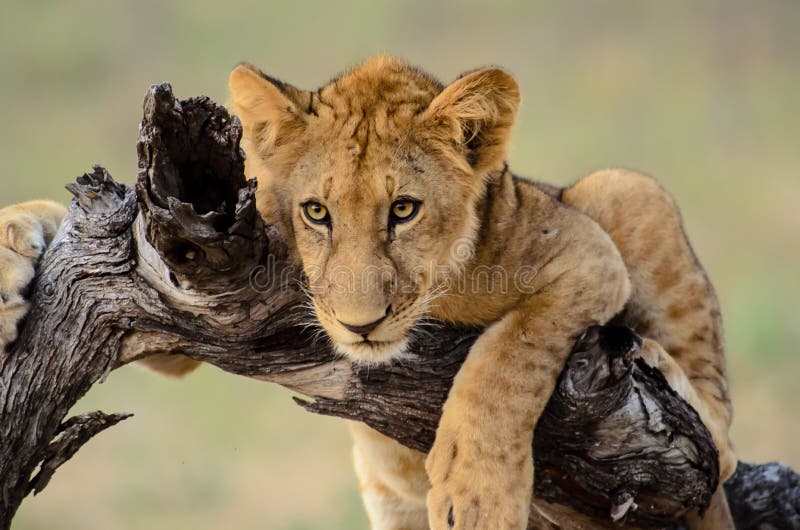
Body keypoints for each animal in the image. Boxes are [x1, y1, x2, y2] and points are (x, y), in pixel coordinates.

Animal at [0, 55, 736, 529]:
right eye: (316, 212)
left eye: (403, 210)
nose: (359, 325)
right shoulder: (186, 283)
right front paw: (10, 270)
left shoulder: (588, 256)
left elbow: (509, 357)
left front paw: (477, 490)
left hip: (625, 189)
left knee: (719, 445)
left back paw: (660, 366)